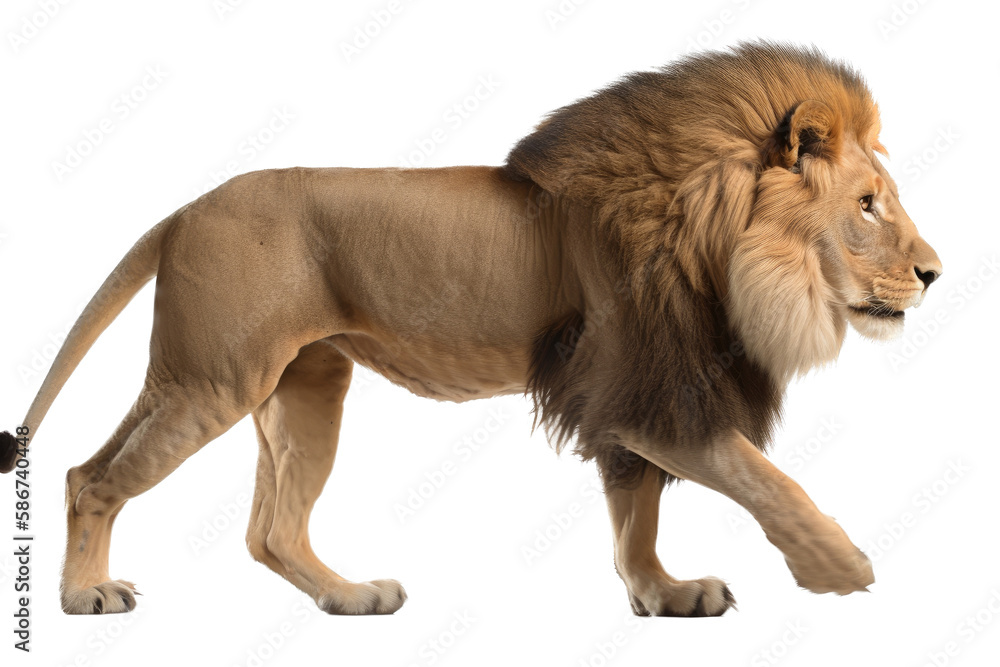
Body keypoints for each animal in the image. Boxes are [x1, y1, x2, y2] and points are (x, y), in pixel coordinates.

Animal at [0, 42, 941, 617]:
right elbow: (764, 478)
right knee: (90, 477)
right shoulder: (638, 389)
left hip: (303, 388)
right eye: (867, 205)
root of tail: (185, 208)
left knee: (269, 528)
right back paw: (84, 597)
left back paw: (351, 596)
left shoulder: (637, 398)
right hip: (210, 379)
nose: (936, 273)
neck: (729, 252)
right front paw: (839, 567)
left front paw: (662, 592)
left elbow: (636, 515)